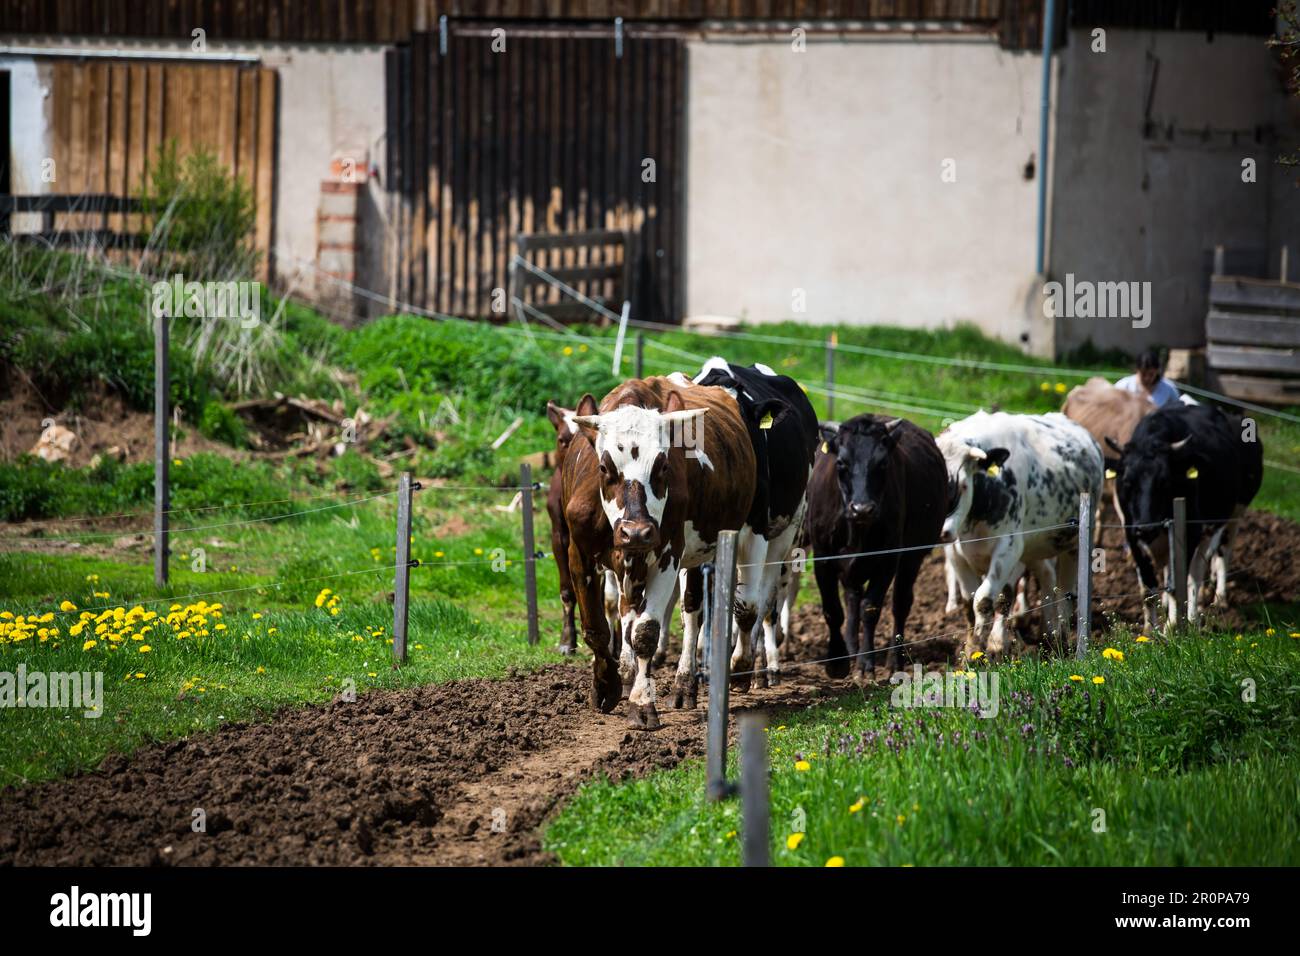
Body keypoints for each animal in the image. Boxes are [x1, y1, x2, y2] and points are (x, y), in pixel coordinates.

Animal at [570, 376, 759, 728]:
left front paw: (642, 703)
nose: (637, 532)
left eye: (663, 466)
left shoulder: (668, 554)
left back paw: (686, 685)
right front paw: (606, 685)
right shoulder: (579, 553)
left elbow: (646, 631)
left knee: (696, 612)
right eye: (604, 467)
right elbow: (596, 630)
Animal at [690, 359, 820, 690]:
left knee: (766, 598)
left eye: (740, 422)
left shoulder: (758, 530)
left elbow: (749, 606)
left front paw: (740, 665)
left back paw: (765, 668)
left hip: (786, 533)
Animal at [808, 414, 947, 681]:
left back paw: (895, 660)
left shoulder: (888, 559)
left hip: (912, 558)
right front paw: (837, 662)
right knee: (852, 598)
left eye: (882, 464)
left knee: (900, 604)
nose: (862, 509)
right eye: (841, 463)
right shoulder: (822, 556)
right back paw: (851, 649)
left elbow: (871, 608)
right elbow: (833, 609)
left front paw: (865, 665)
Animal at [937, 411, 1103, 661]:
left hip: (1074, 542)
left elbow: (989, 599)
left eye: (964, 485)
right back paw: (1049, 633)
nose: (942, 531)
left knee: (1065, 592)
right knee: (1047, 577)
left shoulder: (1009, 547)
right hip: (1035, 547)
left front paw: (995, 645)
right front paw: (972, 651)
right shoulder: (956, 555)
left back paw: (1061, 641)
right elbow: (969, 603)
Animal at [1107, 403, 1262, 631]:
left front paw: (1171, 627)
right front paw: (1149, 631)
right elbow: (1147, 587)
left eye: (1164, 481)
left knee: (1210, 562)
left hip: (1232, 515)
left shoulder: (1190, 530)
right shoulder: (1132, 535)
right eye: (1127, 481)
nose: (1147, 527)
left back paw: (1206, 608)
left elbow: (1178, 579)